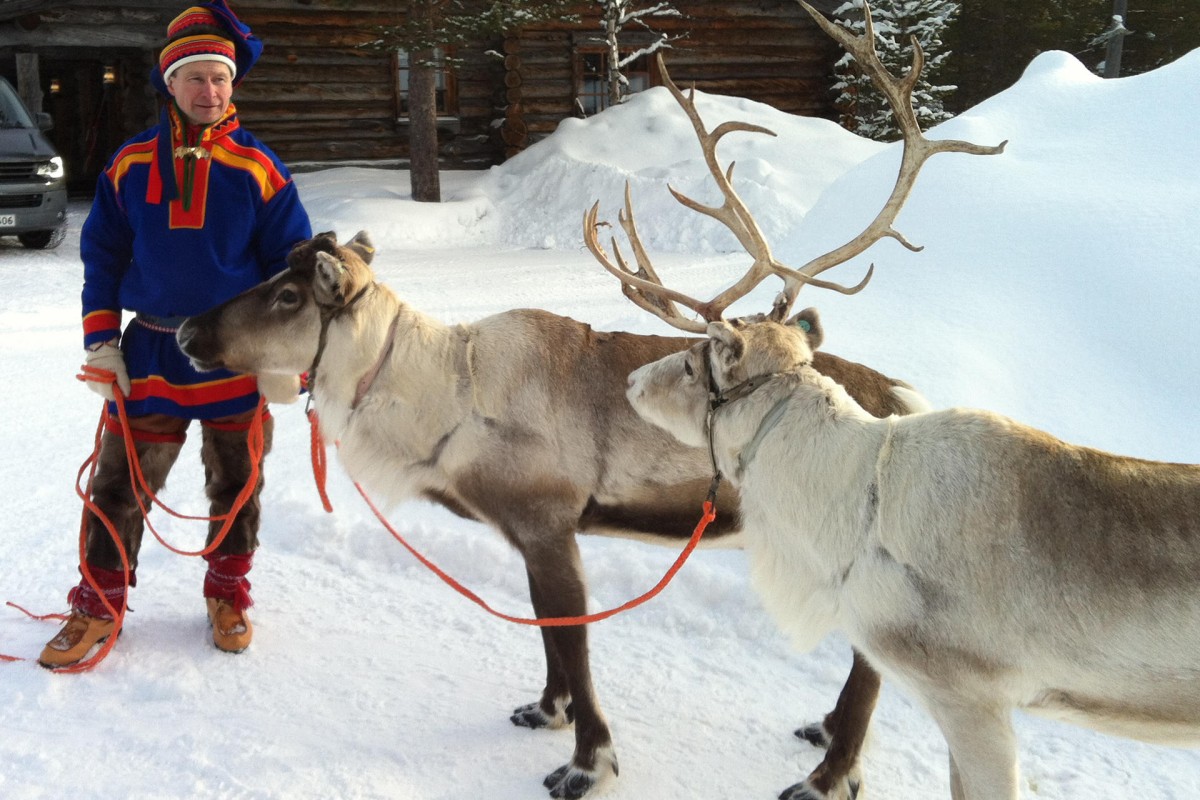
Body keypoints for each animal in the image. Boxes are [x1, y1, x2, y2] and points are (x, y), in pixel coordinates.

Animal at [173, 3, 941, 797]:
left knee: (871, 662)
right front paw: (547, 709)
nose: (186, 329)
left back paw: (828, 773)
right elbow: (547, 636)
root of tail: (904, 398)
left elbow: (572, 641)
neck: (445, 404)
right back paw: (824, 732)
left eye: (289, 295)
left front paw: (588, 761)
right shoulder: (526, 531)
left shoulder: (547, 521)